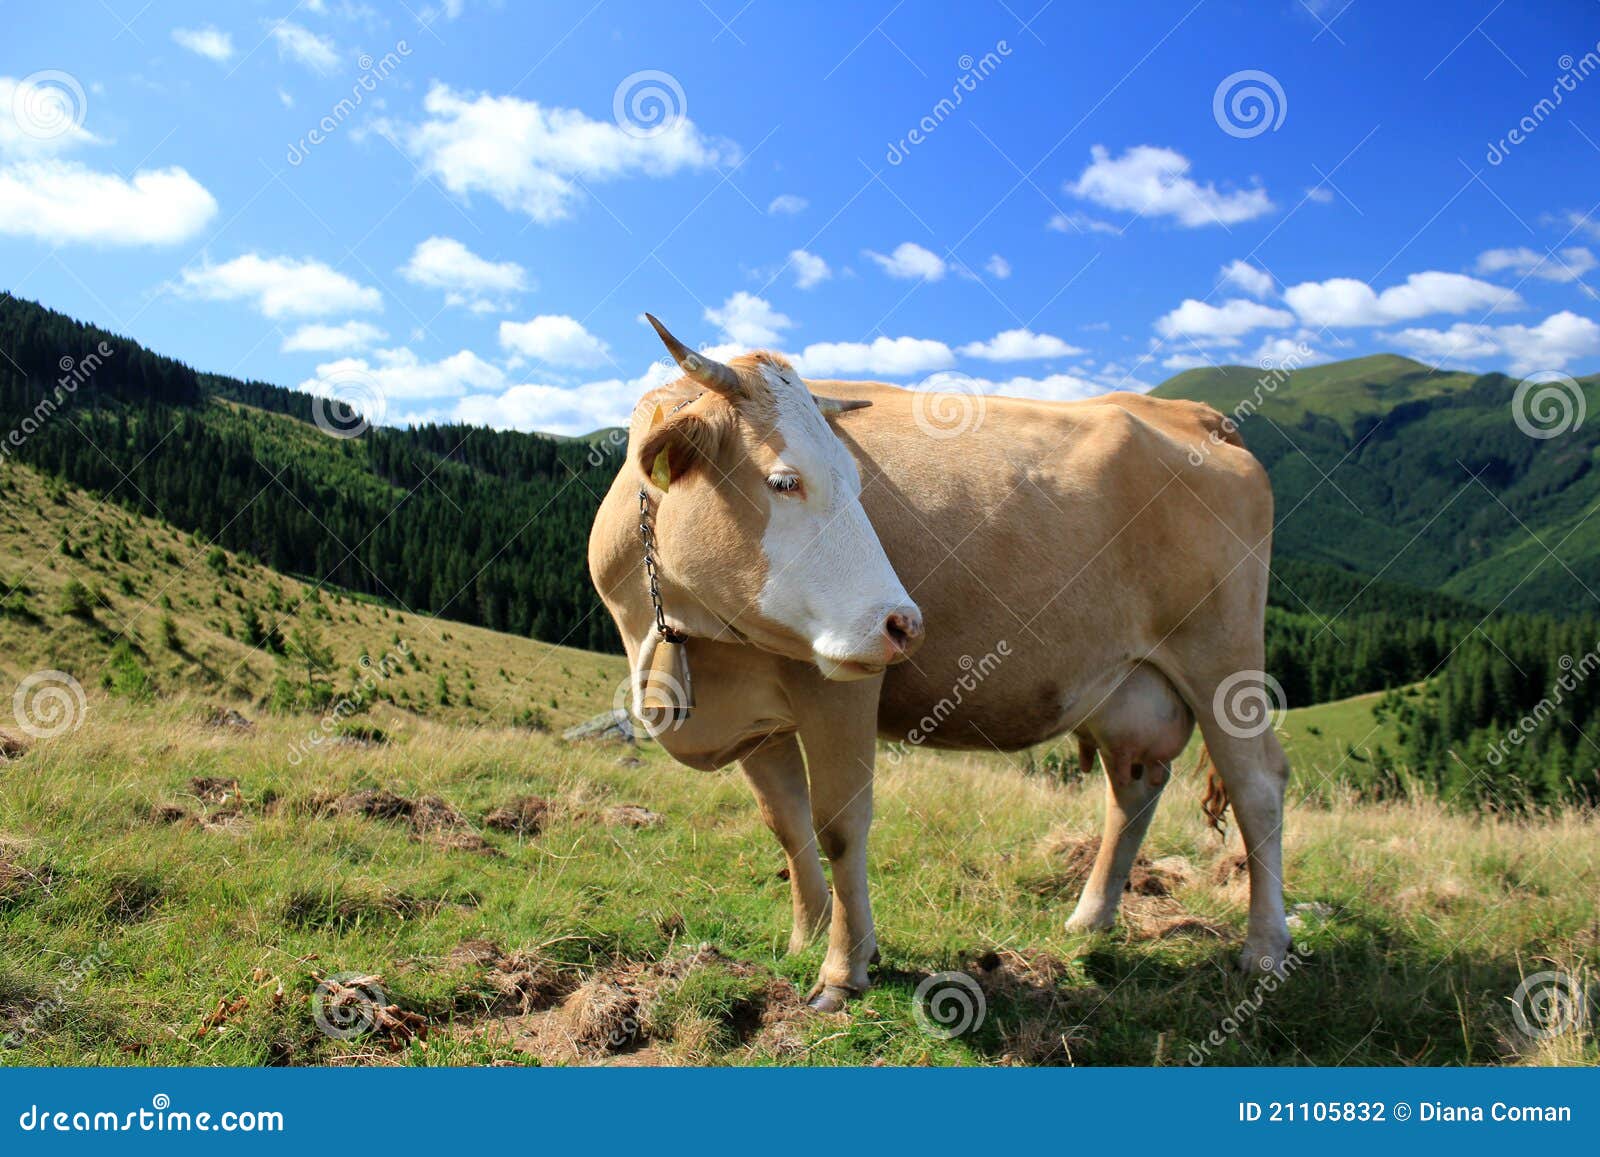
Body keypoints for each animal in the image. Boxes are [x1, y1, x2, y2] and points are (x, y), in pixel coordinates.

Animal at [588, 316, 1290, 1011]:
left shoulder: (840, 686)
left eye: (859, 485)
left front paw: (843, 969)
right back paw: (1091, 919)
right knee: (1135, 785)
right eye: (784, 480)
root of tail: (1192, 414)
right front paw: (806, 936)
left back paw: (1265, 947)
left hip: (1222, 660)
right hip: (1130, 687)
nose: (906, 624)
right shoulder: (756, 722)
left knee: (1257, 786)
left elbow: (838, 824)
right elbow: (785, 823)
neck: (678, 634)